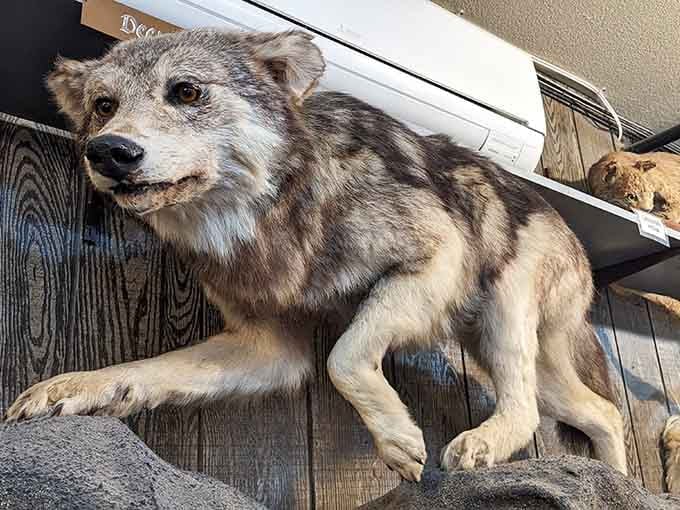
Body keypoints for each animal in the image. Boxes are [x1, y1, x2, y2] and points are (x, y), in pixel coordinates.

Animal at [6, 28, 630, 483]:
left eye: (185, 91)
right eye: (104, 105)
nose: (108, 151)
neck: (269, 211)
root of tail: (567, 224)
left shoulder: (435, 258)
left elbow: (344, 357)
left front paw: (398, 440)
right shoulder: (268, 348)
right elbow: (143, 370)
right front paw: (67, 389)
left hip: (502, 311)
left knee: (528, 410)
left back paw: (487, 446)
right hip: (506, 353)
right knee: (603, 411)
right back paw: (620, 483)